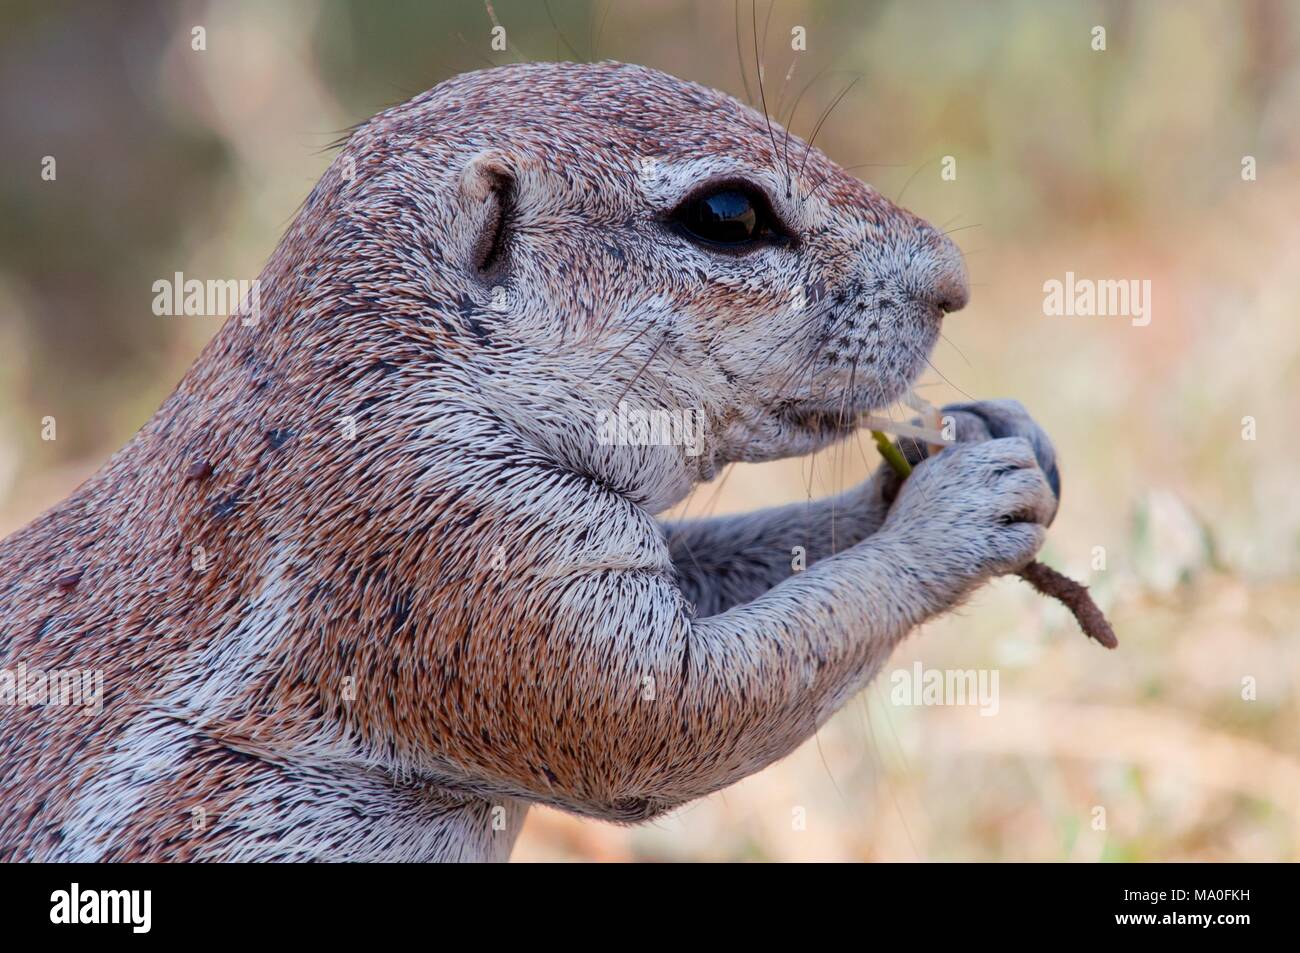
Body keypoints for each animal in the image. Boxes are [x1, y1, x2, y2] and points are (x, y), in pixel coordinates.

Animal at [0, 61, 1059, 861]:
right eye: (728, 214)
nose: (956, 283)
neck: (395, 374)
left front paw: (967, 439)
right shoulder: (448, 542)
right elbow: (662, 711)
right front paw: (956, 506)